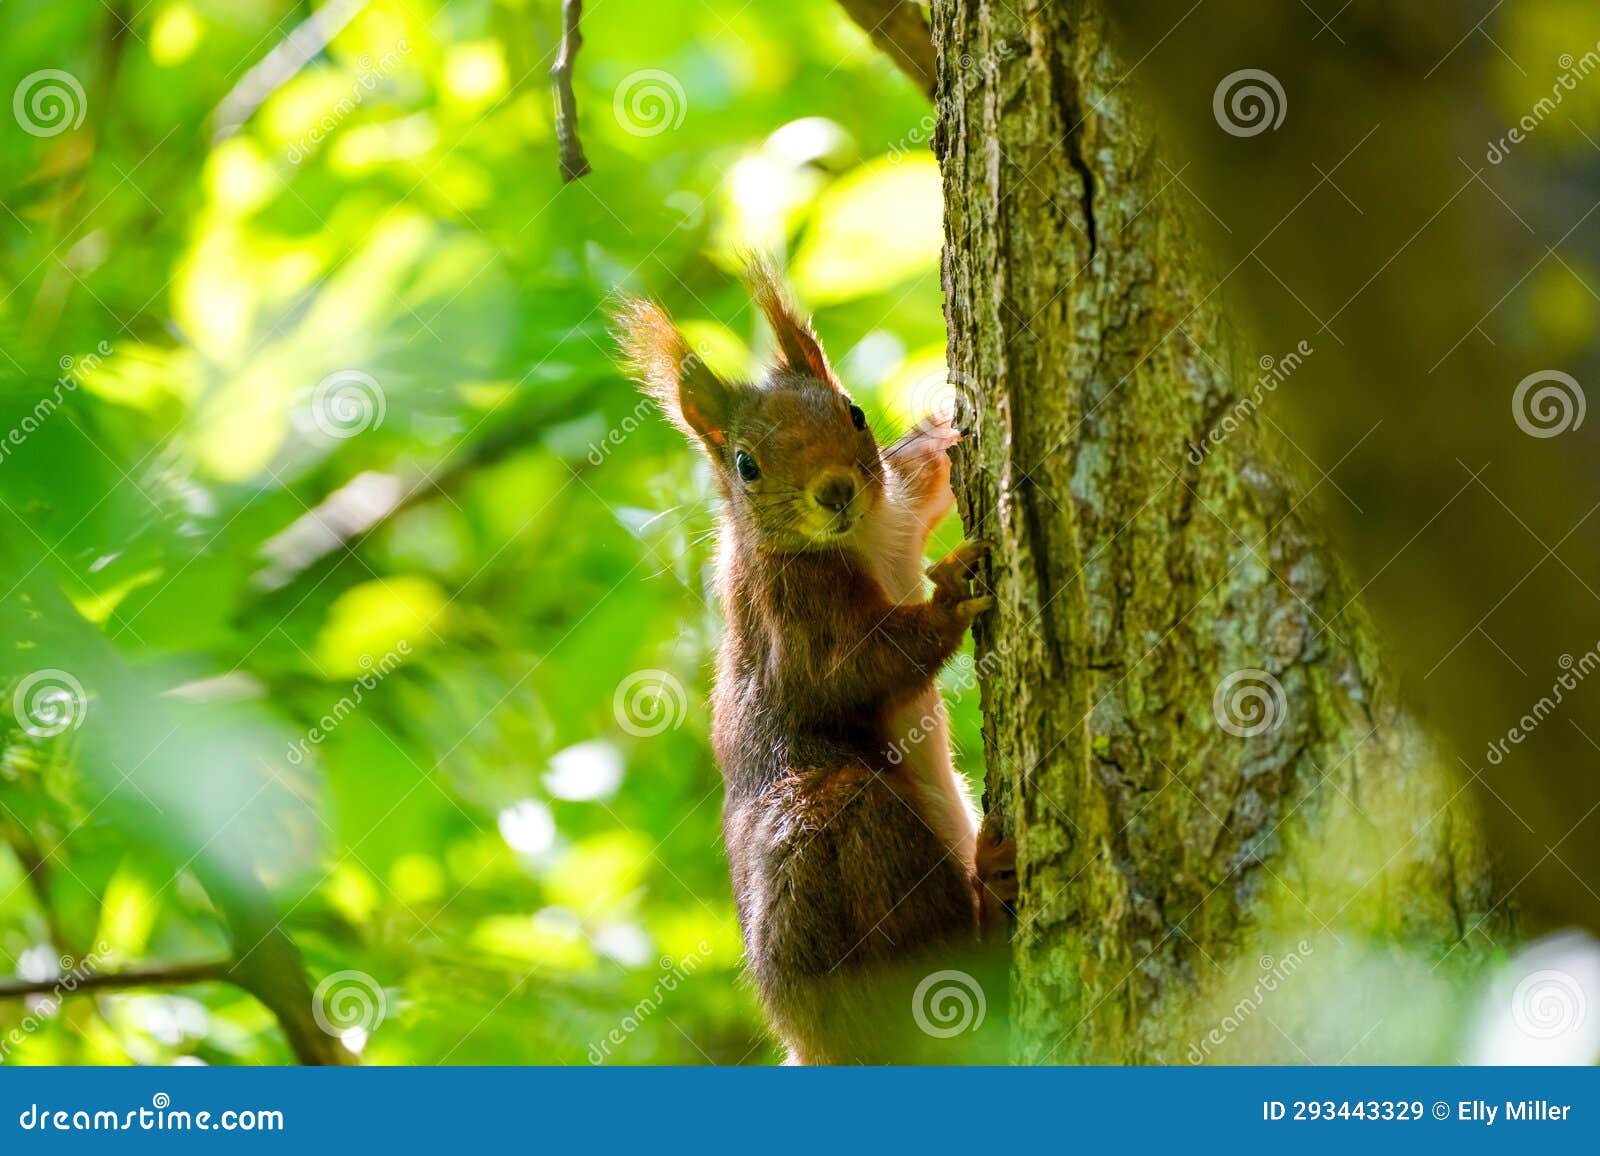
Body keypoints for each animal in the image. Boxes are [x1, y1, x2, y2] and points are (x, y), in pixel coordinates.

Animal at [616, 259, 1015, 1064]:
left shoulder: (897, 498)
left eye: (855, 413)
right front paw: (952, 595)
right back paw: (992, 895)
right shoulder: (793, 614)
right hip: (842, 839)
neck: (862, 536)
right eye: (745, 465)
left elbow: (924, 470)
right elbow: (856, 668)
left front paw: (949, 425)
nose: (836, 492)